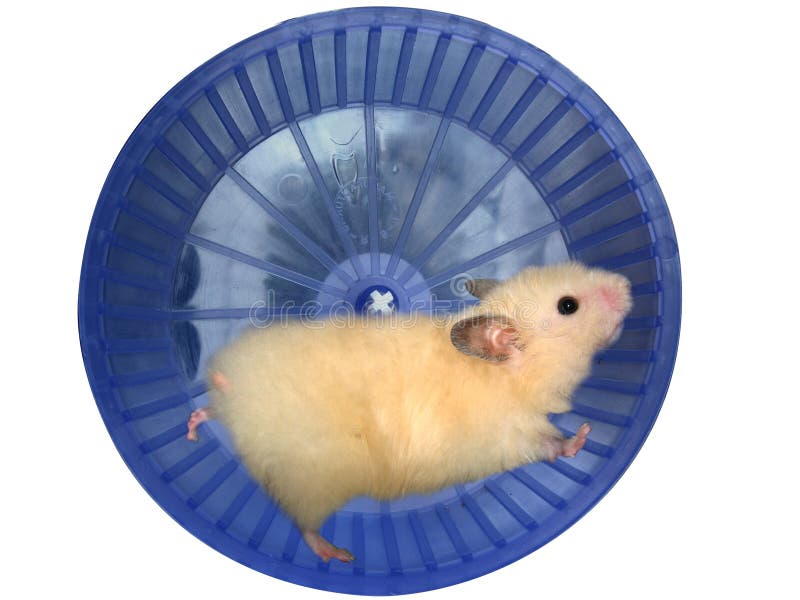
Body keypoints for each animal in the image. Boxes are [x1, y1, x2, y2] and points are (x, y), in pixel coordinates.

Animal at [186, 261, 632, 562]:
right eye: (568, 306)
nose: (627, 283)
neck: (504, 377)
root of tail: (245, 404)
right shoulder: (517, 435)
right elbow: (554, 445)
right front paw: (584, 433)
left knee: (211, 410)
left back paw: (193, 425)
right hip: (312, 483)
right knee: (304, 524)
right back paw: (338, 554)